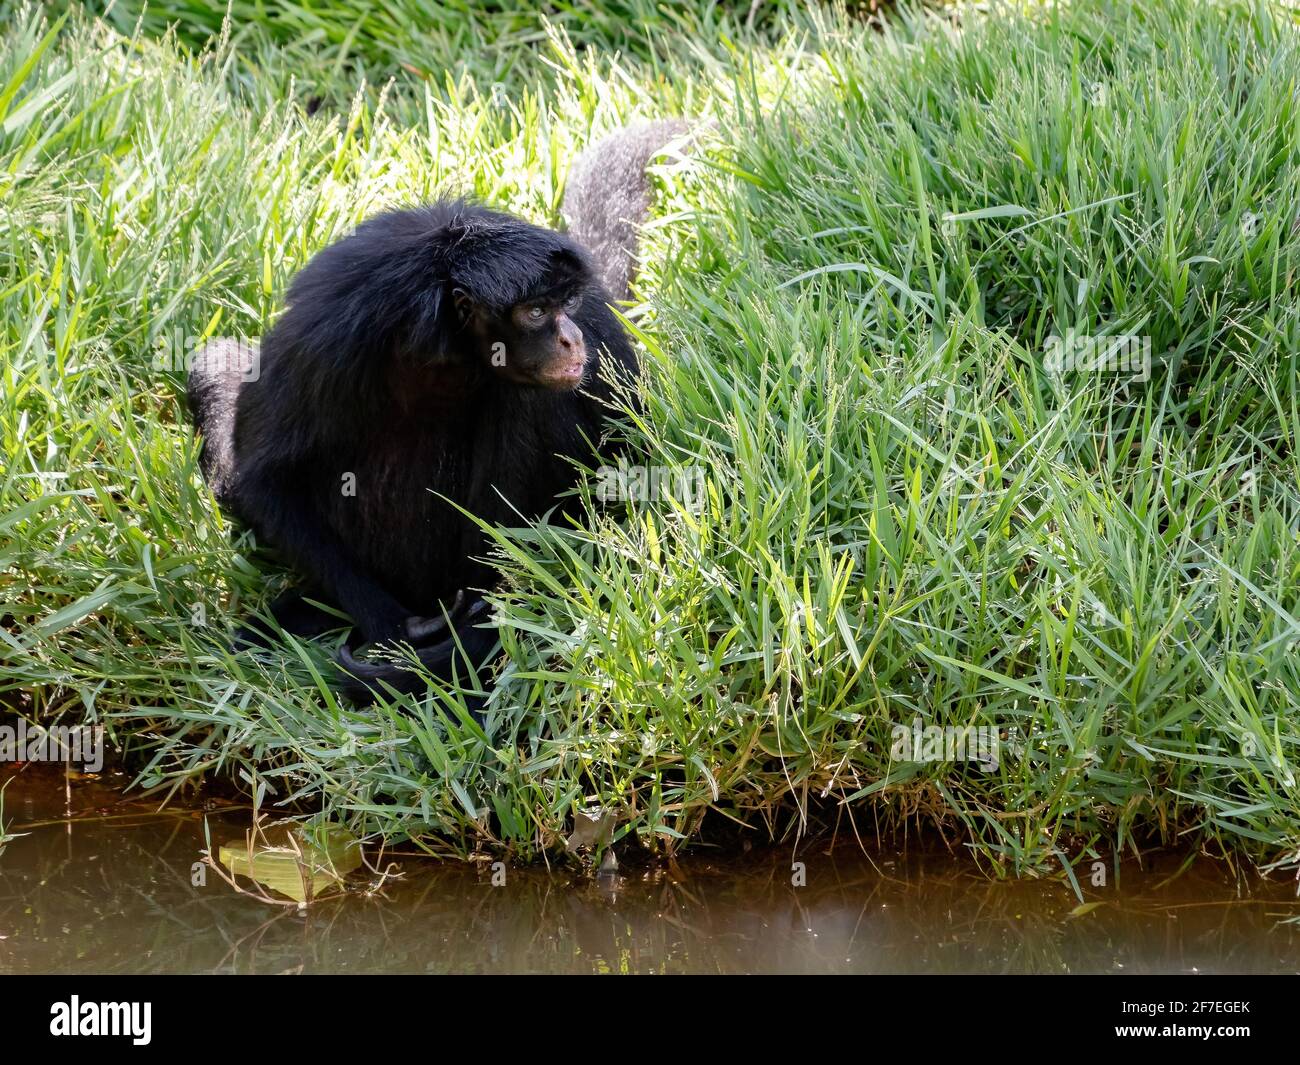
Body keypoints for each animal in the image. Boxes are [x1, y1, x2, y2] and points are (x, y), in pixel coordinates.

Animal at [188, 200, 638, 700]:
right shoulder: (333, 324)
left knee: (528, 397)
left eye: (567, 305)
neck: (449, 341)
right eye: (537, 312)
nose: (569, 338)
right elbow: (261, 480)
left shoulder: (593, 320)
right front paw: (394, 630)